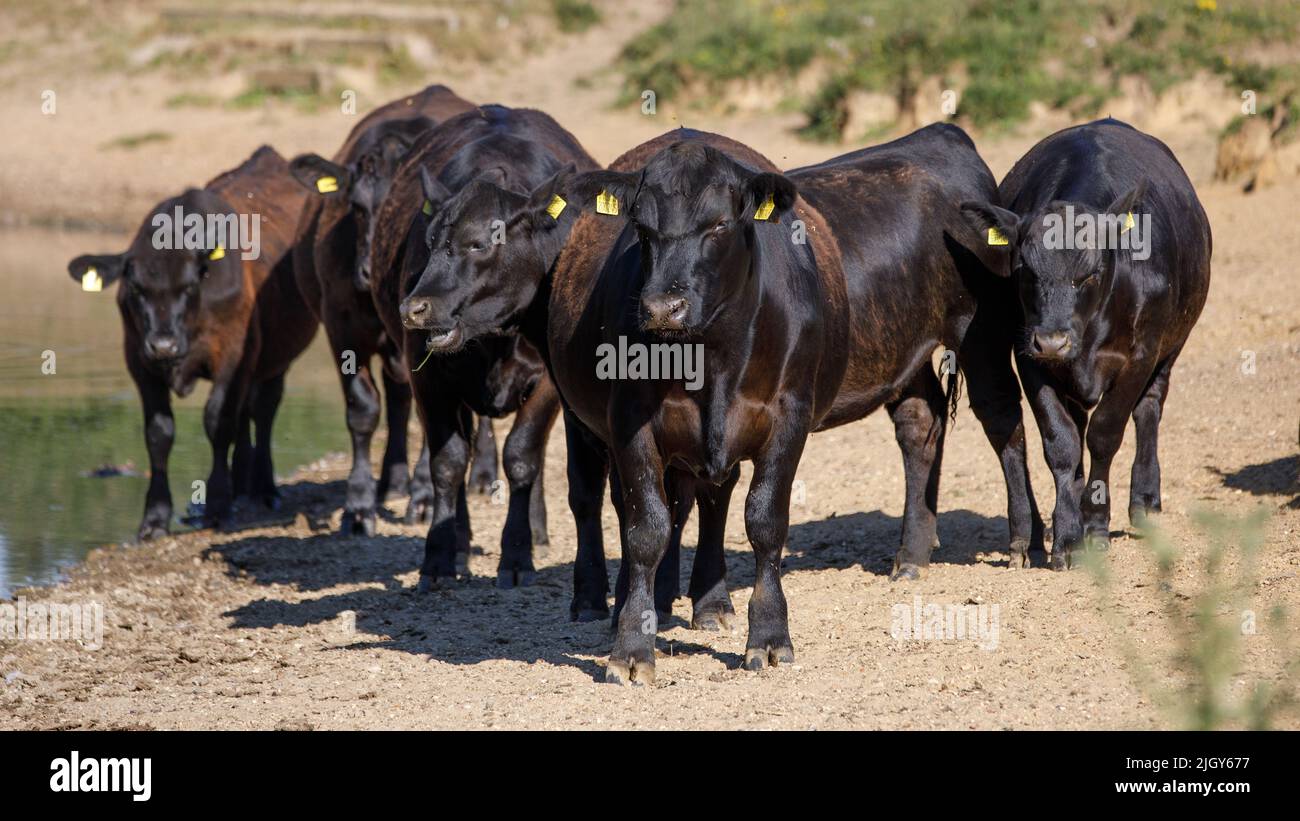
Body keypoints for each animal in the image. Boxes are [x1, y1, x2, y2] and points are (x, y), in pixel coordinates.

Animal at [67, 146, 317, 539]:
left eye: (188, 286)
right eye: (136, 288)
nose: (163, 345)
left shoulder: (233, 355)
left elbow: (218, 421)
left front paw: (216, 505)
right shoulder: (138, 360)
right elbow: (159, 433)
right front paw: (155, 518)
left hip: (277, 355)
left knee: (263, 410)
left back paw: (263, 488)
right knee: (246, 414)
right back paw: (242, 486)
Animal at [286, 85, 499, 536]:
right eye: (356, 207)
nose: (368, 269)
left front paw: (423, 497)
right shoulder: (340, 323)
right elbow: (364, 409)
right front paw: (359, 503)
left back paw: (483, 474)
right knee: (399, 394)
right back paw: (393, 480)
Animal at [369, 104, 599, 589]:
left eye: (477, 244)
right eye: (430, 242)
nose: (414, 307)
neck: (497, 338)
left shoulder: (548, 380)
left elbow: (523, 456)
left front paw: (516, 553)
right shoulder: (427, 374)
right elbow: (448, 461)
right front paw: (438, 556)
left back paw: (536, 530)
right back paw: (460, 541)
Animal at [394, 125, 1042, 684]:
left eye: (719, 225)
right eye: (641, 229)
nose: (662, 306)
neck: (710, 358)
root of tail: (940, 138)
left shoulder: (787, 419)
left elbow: (763, 521)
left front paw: (769, 637)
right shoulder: (627, 426)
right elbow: (647, 524)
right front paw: (634, 637)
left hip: (982, 339)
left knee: (1002, 422)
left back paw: (1024, 542)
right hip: (904, 365)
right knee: (918, 428)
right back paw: (910, 553)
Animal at [959, 118, 1211, 569]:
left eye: (1090, 272)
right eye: (1025, 269)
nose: (1053, 341)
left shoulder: (1139, 357)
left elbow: (1105, 435)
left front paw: (1094, 528)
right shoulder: (1030, 359)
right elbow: (1062, 444)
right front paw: (1067, 537)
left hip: (1171, 347)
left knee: (1149, 409)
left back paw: (1145, 501)